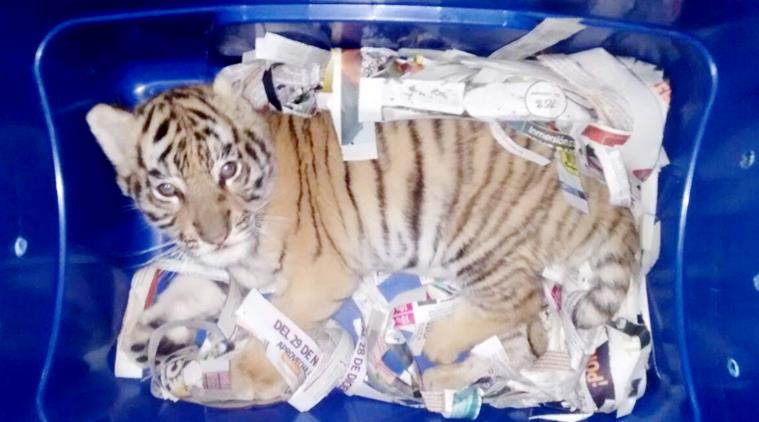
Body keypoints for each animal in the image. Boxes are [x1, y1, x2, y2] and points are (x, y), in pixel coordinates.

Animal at [86, 74, 638, 402]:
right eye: (167, 189)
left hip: (476, 241)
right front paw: (142, 341)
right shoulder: (230, 274)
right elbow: (180, 296)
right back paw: (444, 380)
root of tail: (599, 190)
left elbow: (275, 334)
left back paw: (437, 343)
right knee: (524, 347)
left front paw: (237, 375)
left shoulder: (317, 274)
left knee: (520, 298)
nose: (216, 235)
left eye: (228, 169)